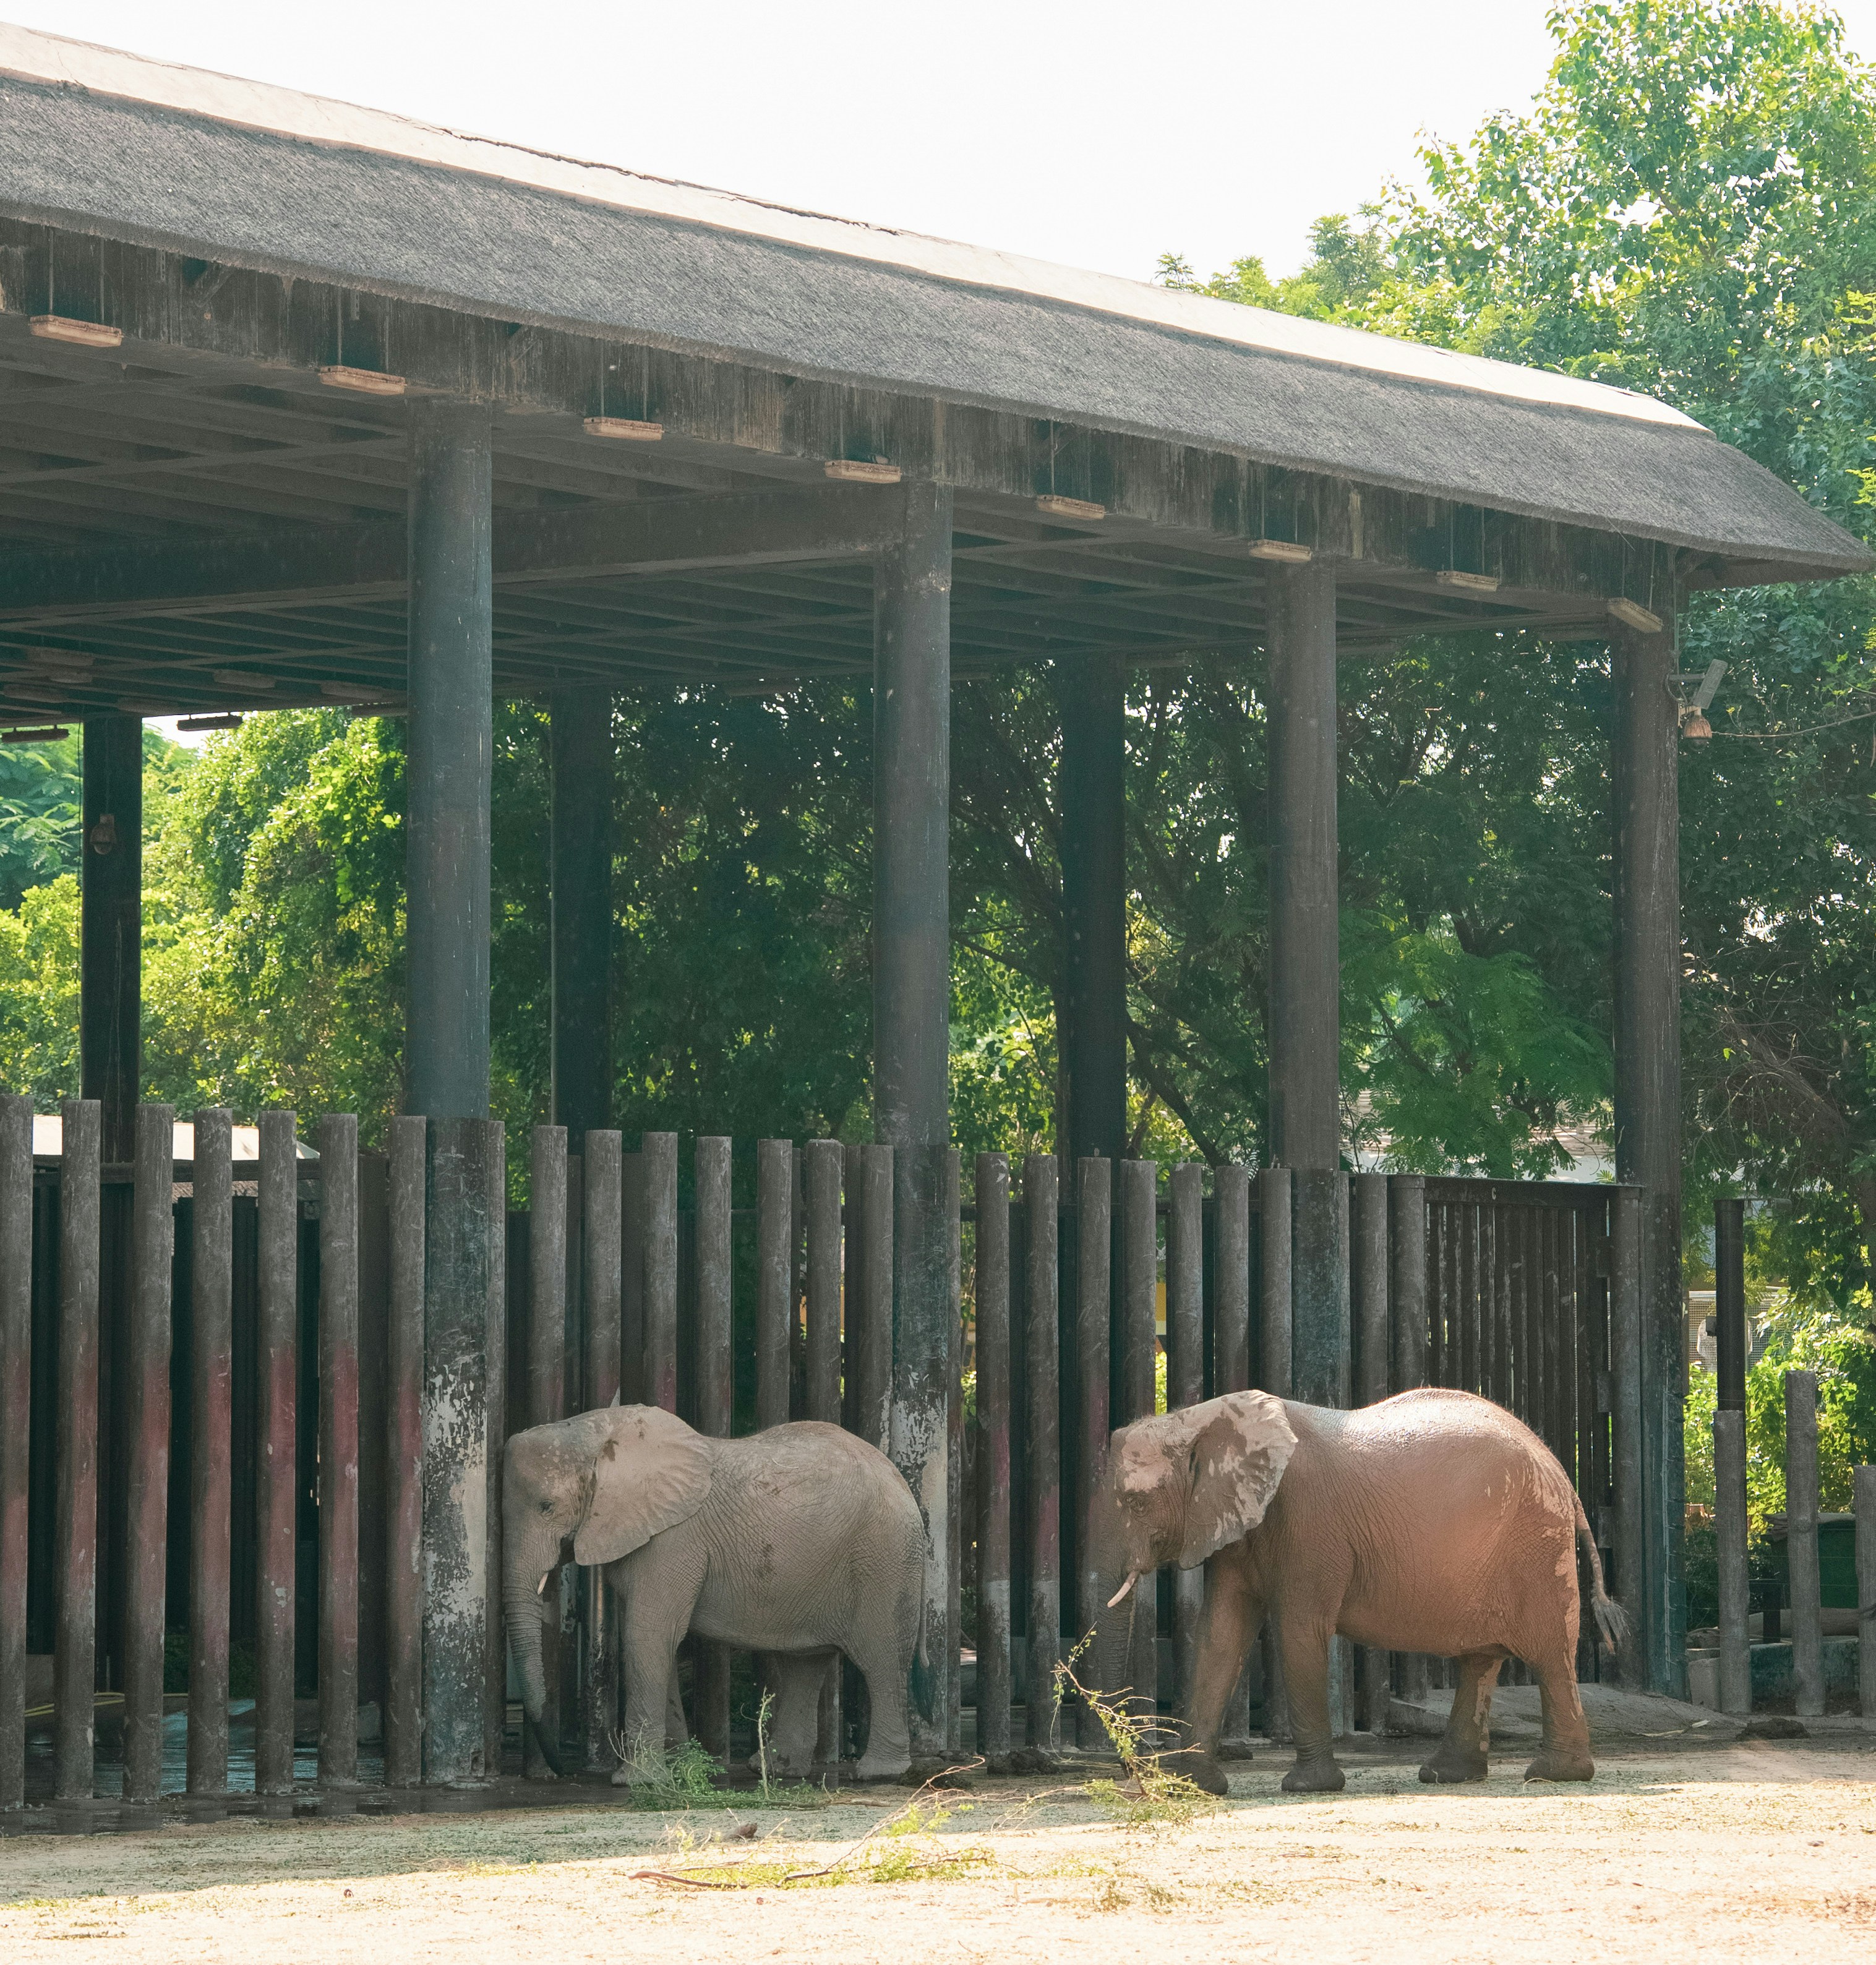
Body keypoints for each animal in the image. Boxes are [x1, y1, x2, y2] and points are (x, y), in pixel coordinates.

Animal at [503, 1404, 926, 1784]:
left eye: (547, 1507)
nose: (562, 1773)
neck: (596, 1430)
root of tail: (897, 1476)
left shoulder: (672, 1540)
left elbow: (648, 1637)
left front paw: (636, 1781)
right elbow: (655, 1642)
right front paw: (682, 1768)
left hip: (886, 1557)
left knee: (881, 1657)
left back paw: (878, 1773)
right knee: (805, 1662)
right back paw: (776, 1769)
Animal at [1090, 1385, 1626, 1795]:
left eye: (1136, 1503)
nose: (1131, 1769)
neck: (1199, 1419)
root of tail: (1563, 1473)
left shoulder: (1308, 1520)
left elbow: (1299, 1630)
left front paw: (1306, 1787)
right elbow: (1219, 1635)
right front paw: (1192, 1786)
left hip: (1536, 1545)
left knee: (1549, 1653)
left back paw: (1552, 1775)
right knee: (1480, 1658)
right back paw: (1445, 1775)